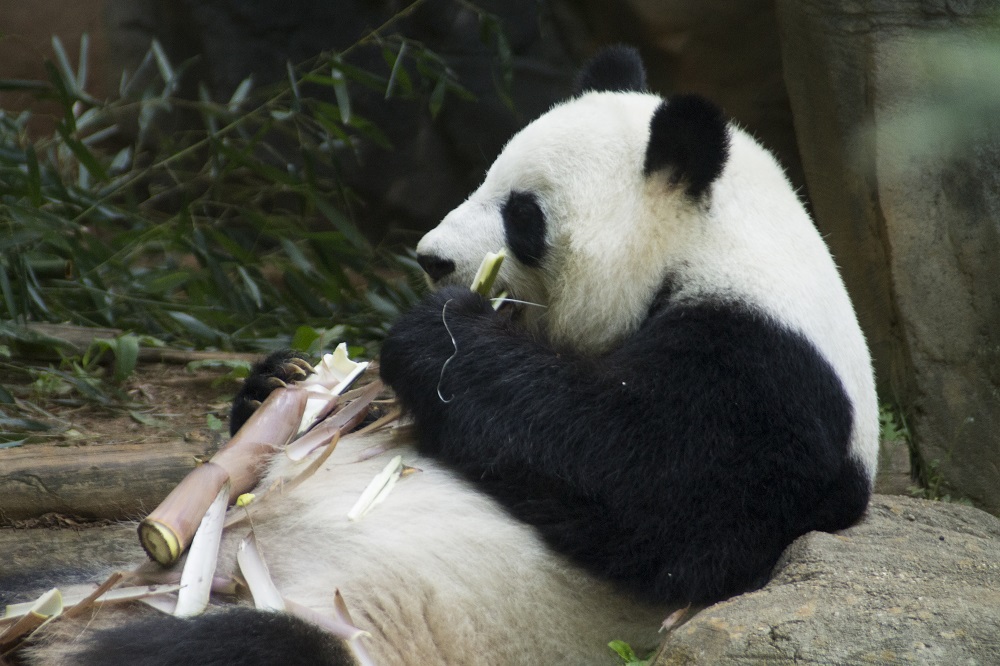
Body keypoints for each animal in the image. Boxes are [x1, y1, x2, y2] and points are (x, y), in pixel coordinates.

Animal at [26, 45, 877, 665]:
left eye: (523, 213)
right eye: (485, 174)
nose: (431, 258)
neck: (714, 248)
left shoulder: (772, 378)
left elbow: (653, 484)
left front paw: (434, 332)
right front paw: (281, 384)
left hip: (363, 624)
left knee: (229, 650)